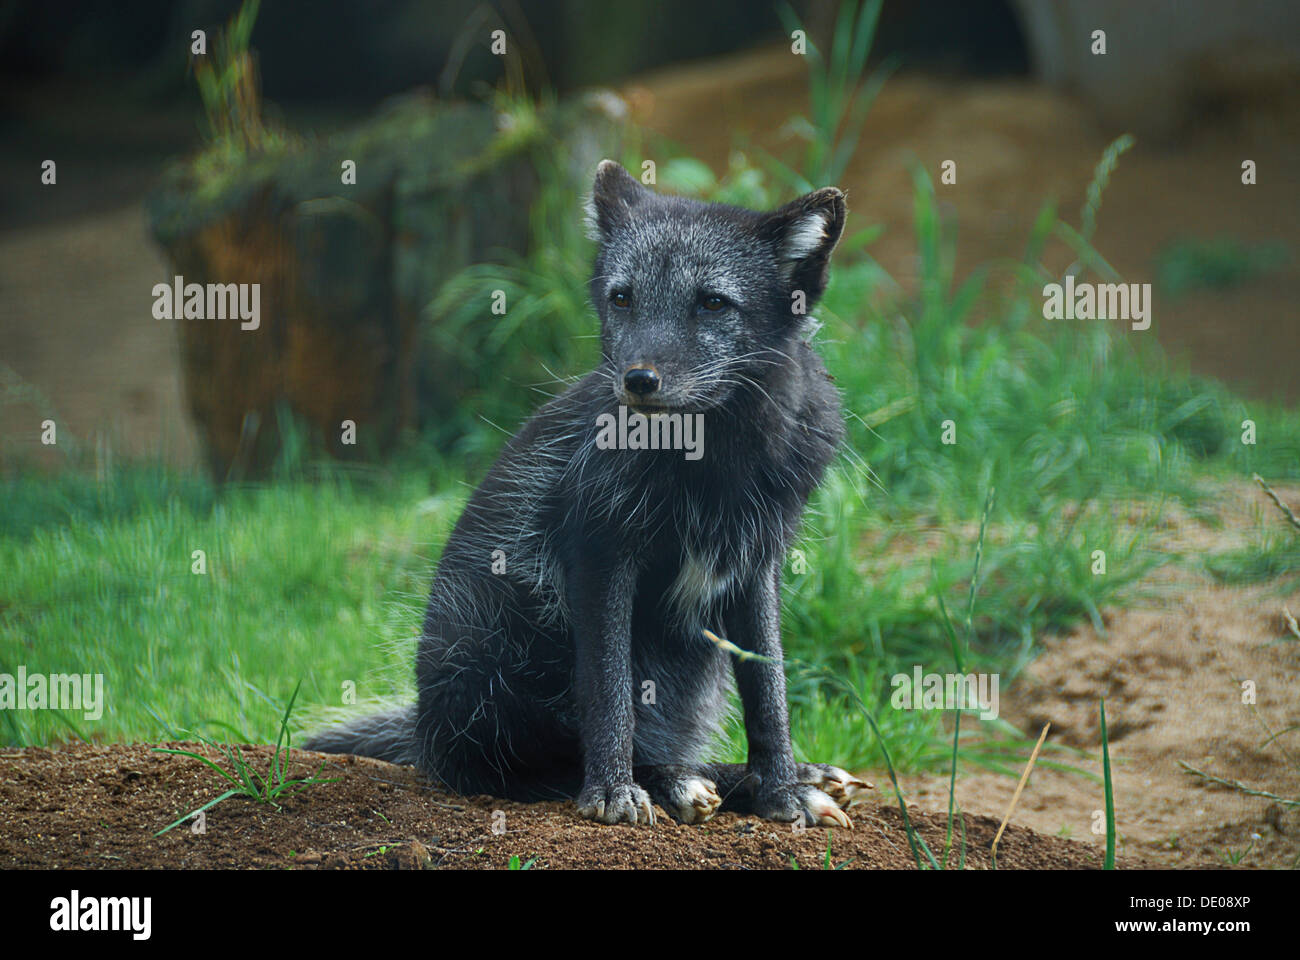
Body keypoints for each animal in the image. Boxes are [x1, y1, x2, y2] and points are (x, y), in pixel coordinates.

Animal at [305, 159, 872, 827]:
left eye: (712, 303)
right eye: (622, 297)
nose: (638, 380)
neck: (709, 466)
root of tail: (424, 731)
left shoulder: (758, 563)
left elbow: (769, 693)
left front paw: (781, 791)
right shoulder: (600, 553)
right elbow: (608, 690)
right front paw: (613, 793)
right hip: (502, 643)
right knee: (521, 767)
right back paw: (672, 781)